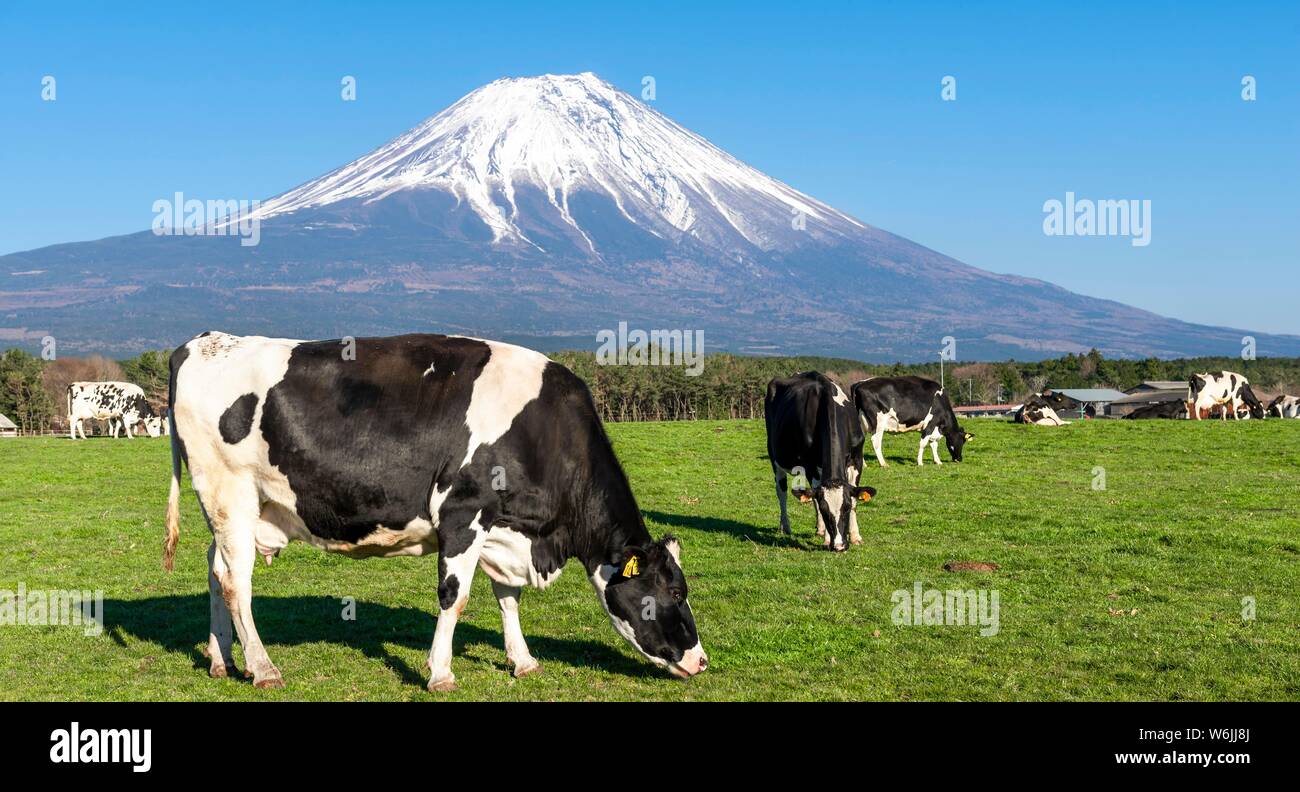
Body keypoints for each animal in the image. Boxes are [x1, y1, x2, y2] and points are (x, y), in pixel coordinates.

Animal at [164, 331, 707, 691]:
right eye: (674, 591)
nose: (702, 661)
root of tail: (202, 341)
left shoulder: (501, 526)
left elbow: (508, 597)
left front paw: (523, 660)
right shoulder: (463, 512)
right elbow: (455, 597)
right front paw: (441, 672)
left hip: (238, 507)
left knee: (215, 570)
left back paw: (220, 658)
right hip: (229, 492)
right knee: (237, 582)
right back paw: (262, 668)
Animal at [764, 372, 875, 551]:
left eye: (846, 508)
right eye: (826, 511)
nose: (839, 546)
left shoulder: (857, 459)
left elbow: (854, 497)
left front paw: (856, 536)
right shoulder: (810, 464)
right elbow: (817, 498)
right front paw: (828, 538)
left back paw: (820, 530)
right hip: (775, 457)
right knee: (782, 491)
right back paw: (786, 526)